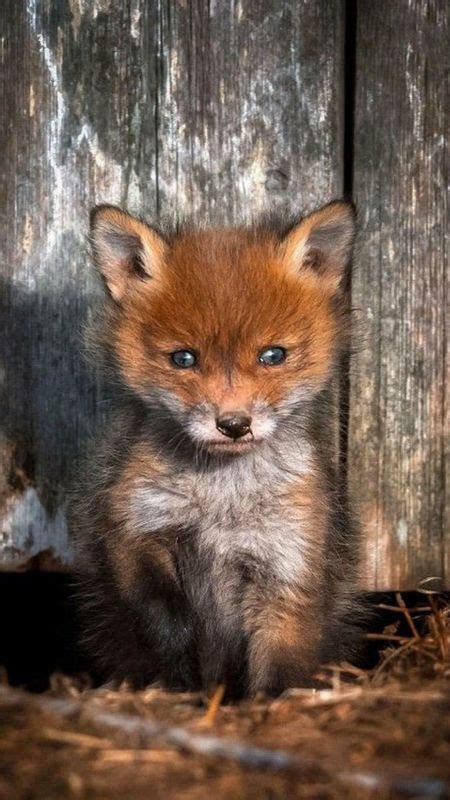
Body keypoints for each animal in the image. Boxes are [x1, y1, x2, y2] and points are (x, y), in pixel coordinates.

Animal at [72, 199, 362, 698]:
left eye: (273, 355)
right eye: (184, 358)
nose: (233, 424)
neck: (222, 504)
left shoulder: (287, 570)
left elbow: (280, 666)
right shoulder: (134, 530)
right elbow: (165, 617)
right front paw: (182, 680)